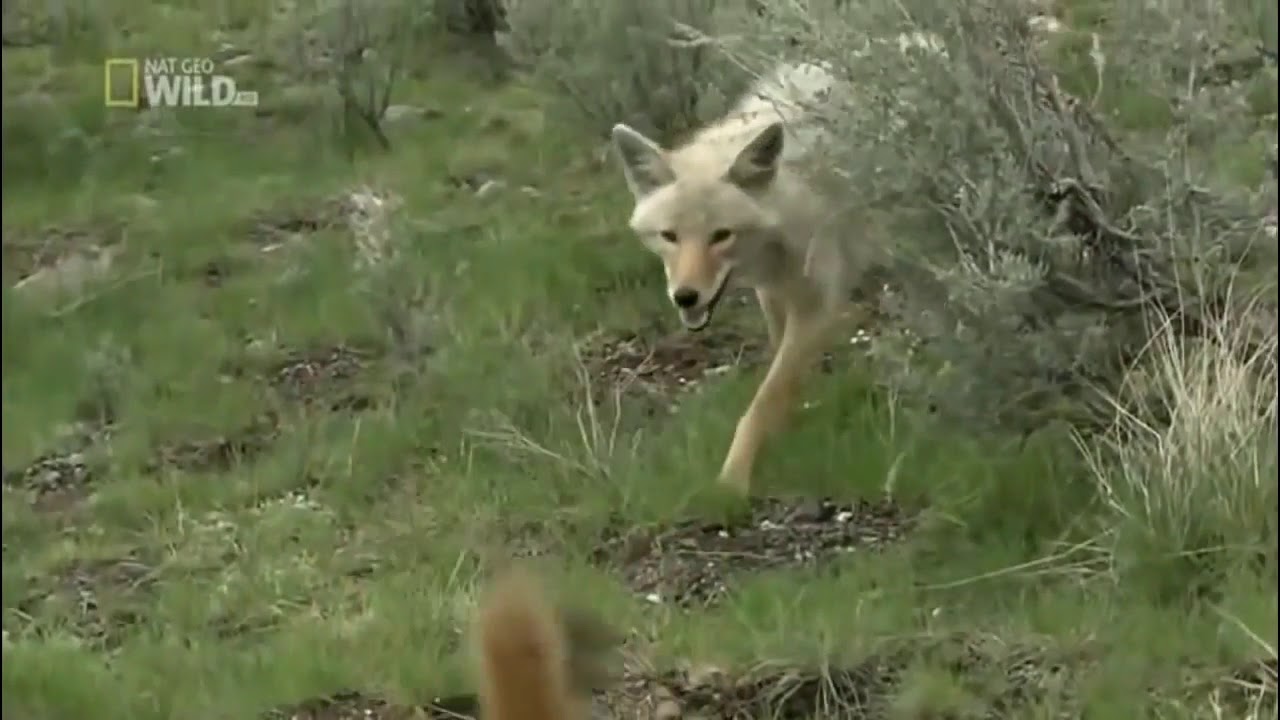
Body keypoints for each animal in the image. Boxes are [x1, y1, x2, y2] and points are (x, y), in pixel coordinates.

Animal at [610, 61, 879, 494]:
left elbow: (764, 398)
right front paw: (788, 427)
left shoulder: (817, 305)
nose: (685, 297)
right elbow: (781, 375)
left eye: (721, 236)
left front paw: (732, 480)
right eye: (669, 236)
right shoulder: (773, 292)